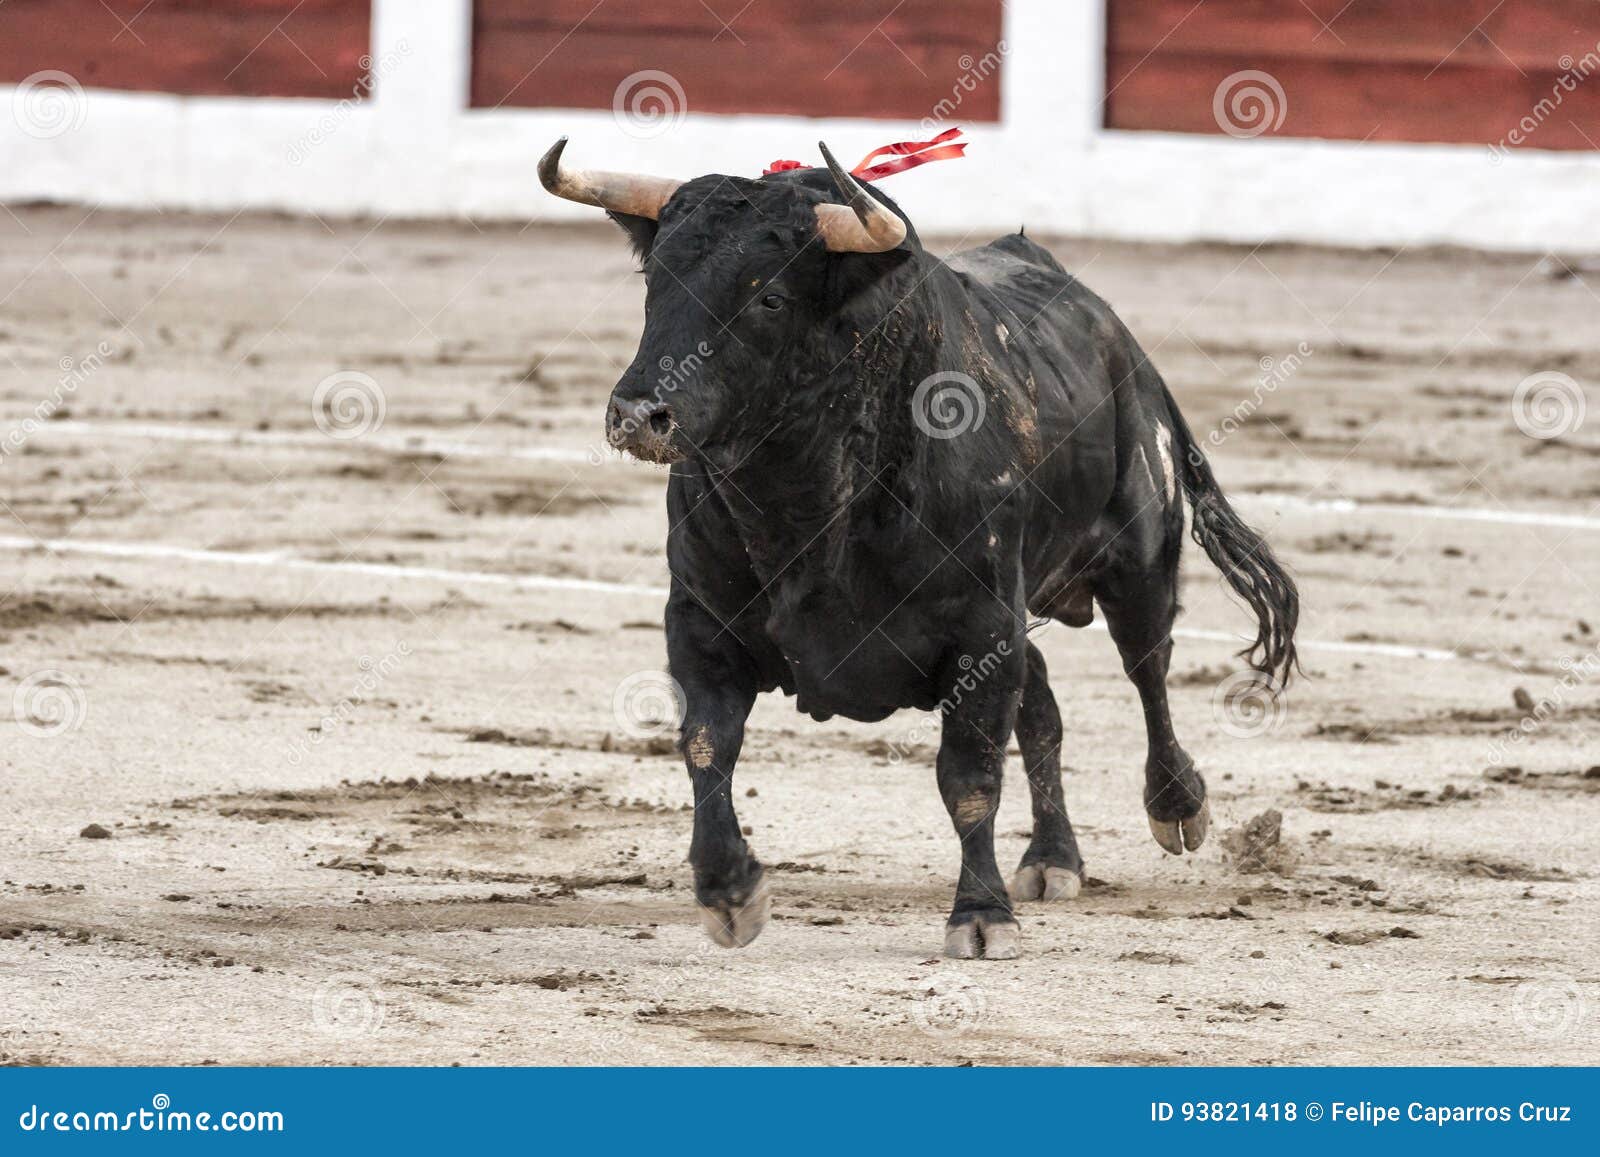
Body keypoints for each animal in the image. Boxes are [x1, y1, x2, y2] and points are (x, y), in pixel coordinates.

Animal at [540, 138, 1299, 959]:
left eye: (769, 298)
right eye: (656, 279)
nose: (637, 414)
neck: (806, 493)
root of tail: (1115, 334)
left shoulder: (980, 629)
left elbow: (968, 777)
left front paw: (981, 914)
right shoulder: (701, 621)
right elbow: (708, 744)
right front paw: (728, 891)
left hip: (1138, 561)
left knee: (1147, 671)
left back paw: (1177, 806)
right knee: (1045, 707)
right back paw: (1053, 859)